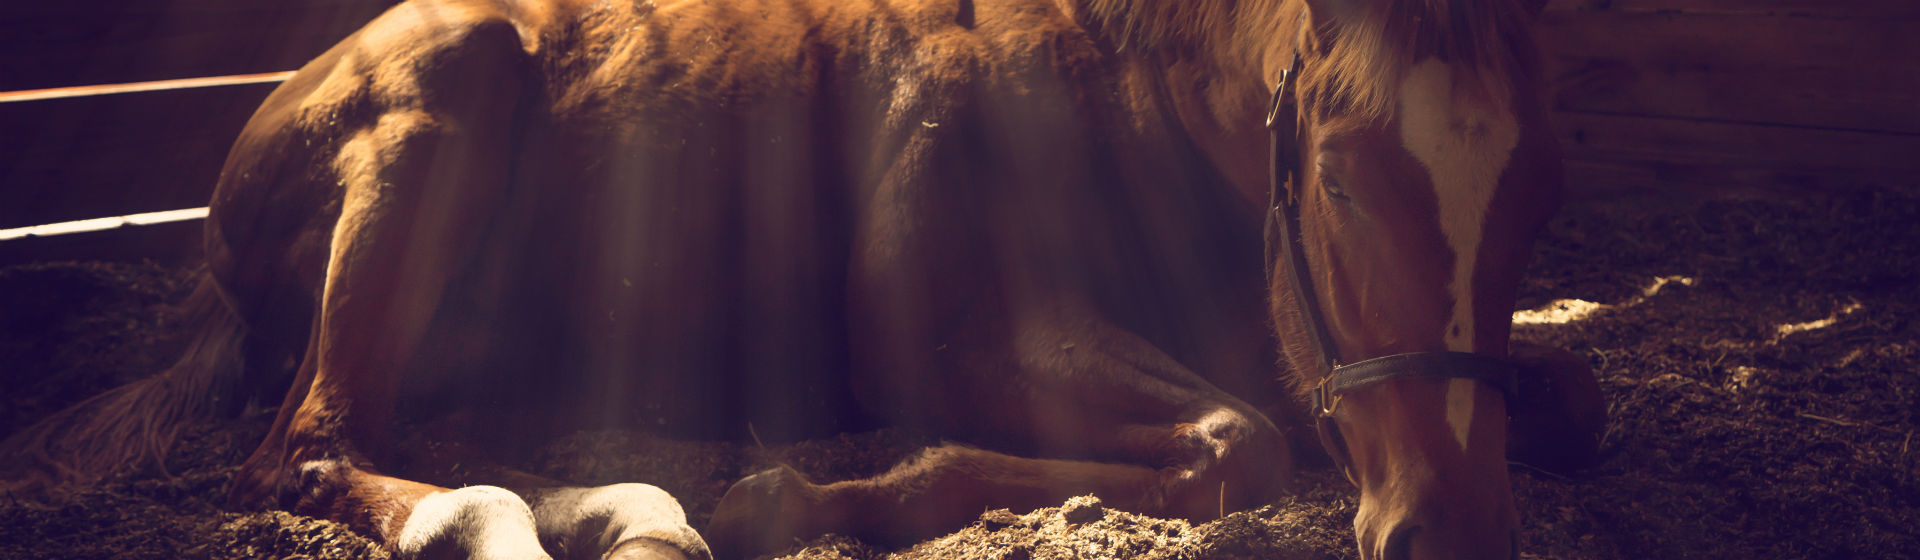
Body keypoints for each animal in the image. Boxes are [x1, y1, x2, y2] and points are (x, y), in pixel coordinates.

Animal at [0, 0, 1607, 558]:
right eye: (1337, 175)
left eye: (1542, 190)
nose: (1457, 538)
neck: (1114, 86)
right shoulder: (937, 328)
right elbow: (1242, 440)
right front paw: (786, 497)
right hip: (439, 109)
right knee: (311, 446)